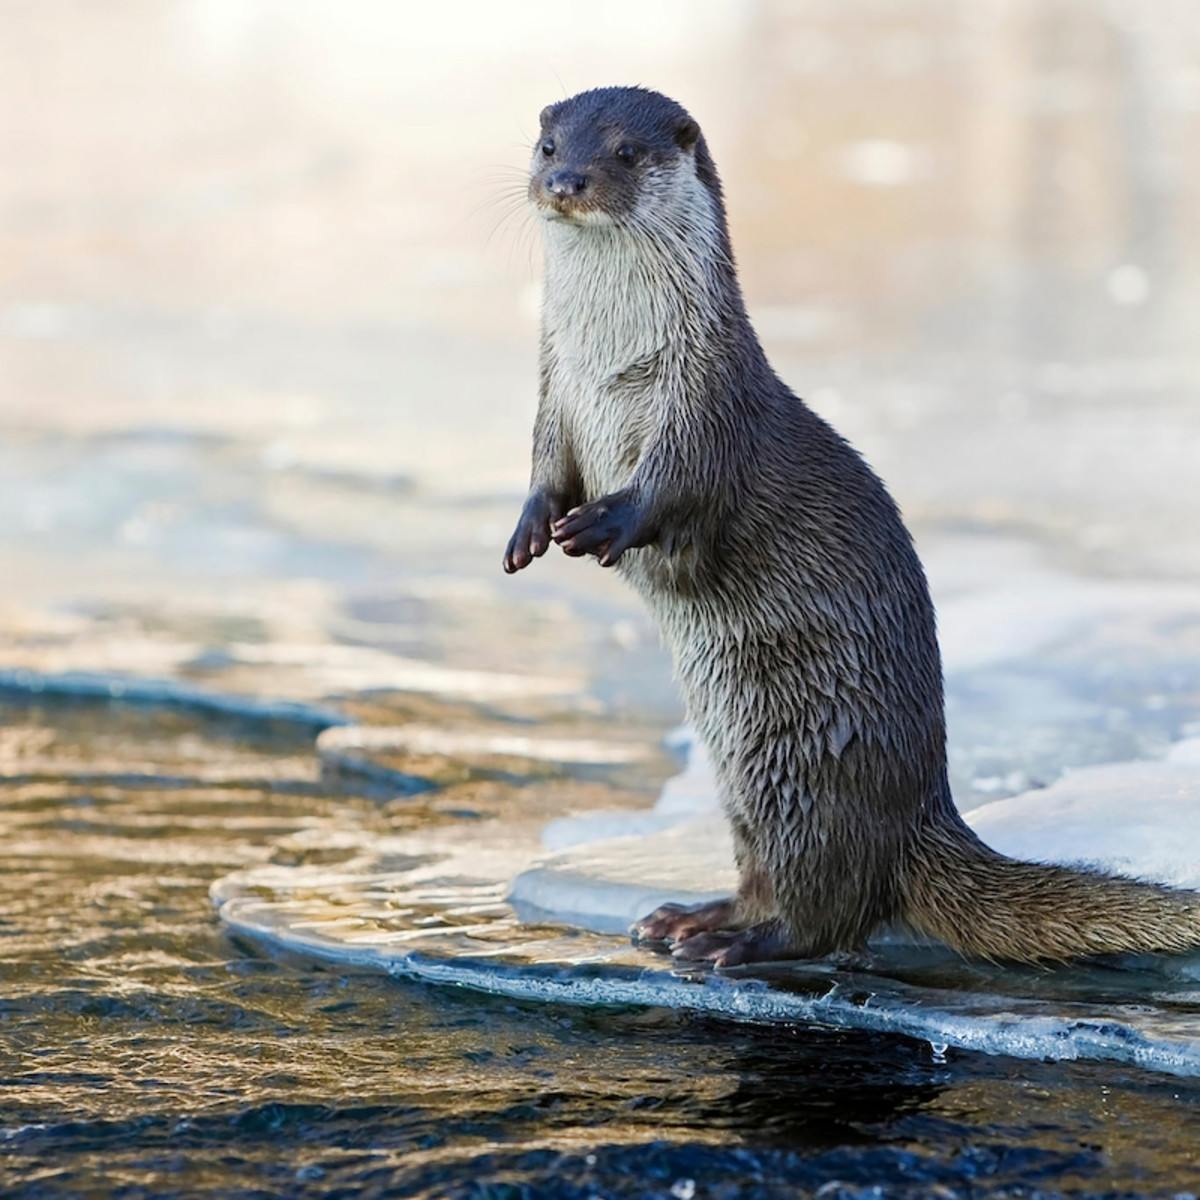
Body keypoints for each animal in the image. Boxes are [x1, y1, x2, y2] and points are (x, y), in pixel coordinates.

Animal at [502, 85, 1200, 967]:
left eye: (624, 151)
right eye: (549, 146)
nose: (567, 182)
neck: (612, 371)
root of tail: (918, 816)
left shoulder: (707, 403)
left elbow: (679, 488)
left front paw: (605, 521)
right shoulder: (554, 396)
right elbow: (543, 470)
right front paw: (529, 528)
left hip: (808, 775)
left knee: (826, 911)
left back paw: (739, 945)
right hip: (741, 787)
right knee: (764, 876)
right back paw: (691, 919)